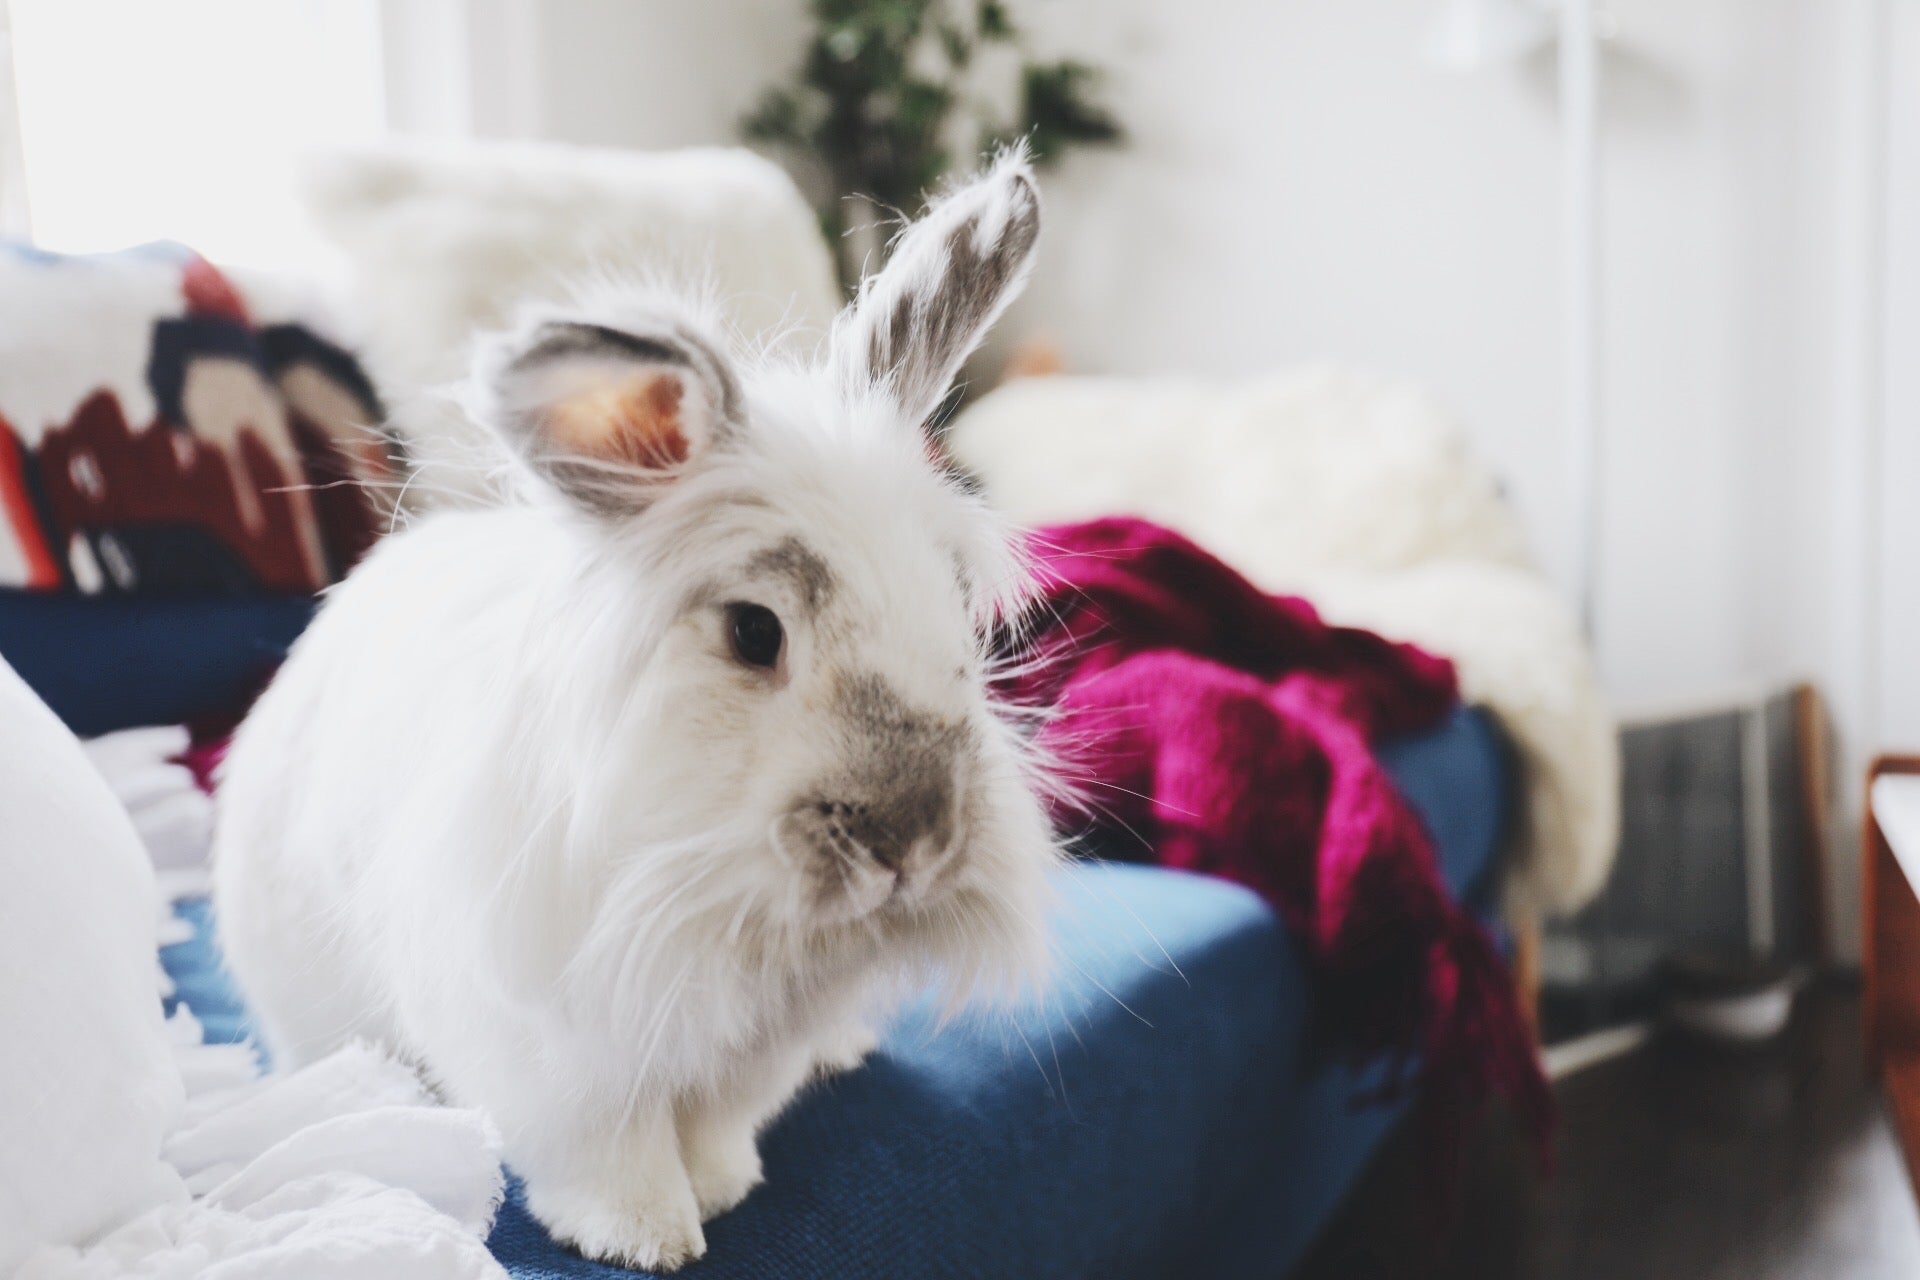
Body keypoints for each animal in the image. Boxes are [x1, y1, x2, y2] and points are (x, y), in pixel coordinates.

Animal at [211, 154, 1057, 1272]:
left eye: (958, 603)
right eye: (754, 631)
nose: (912, 839)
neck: (709, 887)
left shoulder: (756, 1044)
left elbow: (717, 1123)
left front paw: (725, 1184)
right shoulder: (550, 1048)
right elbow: (609, 1153)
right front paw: (651, 1236)